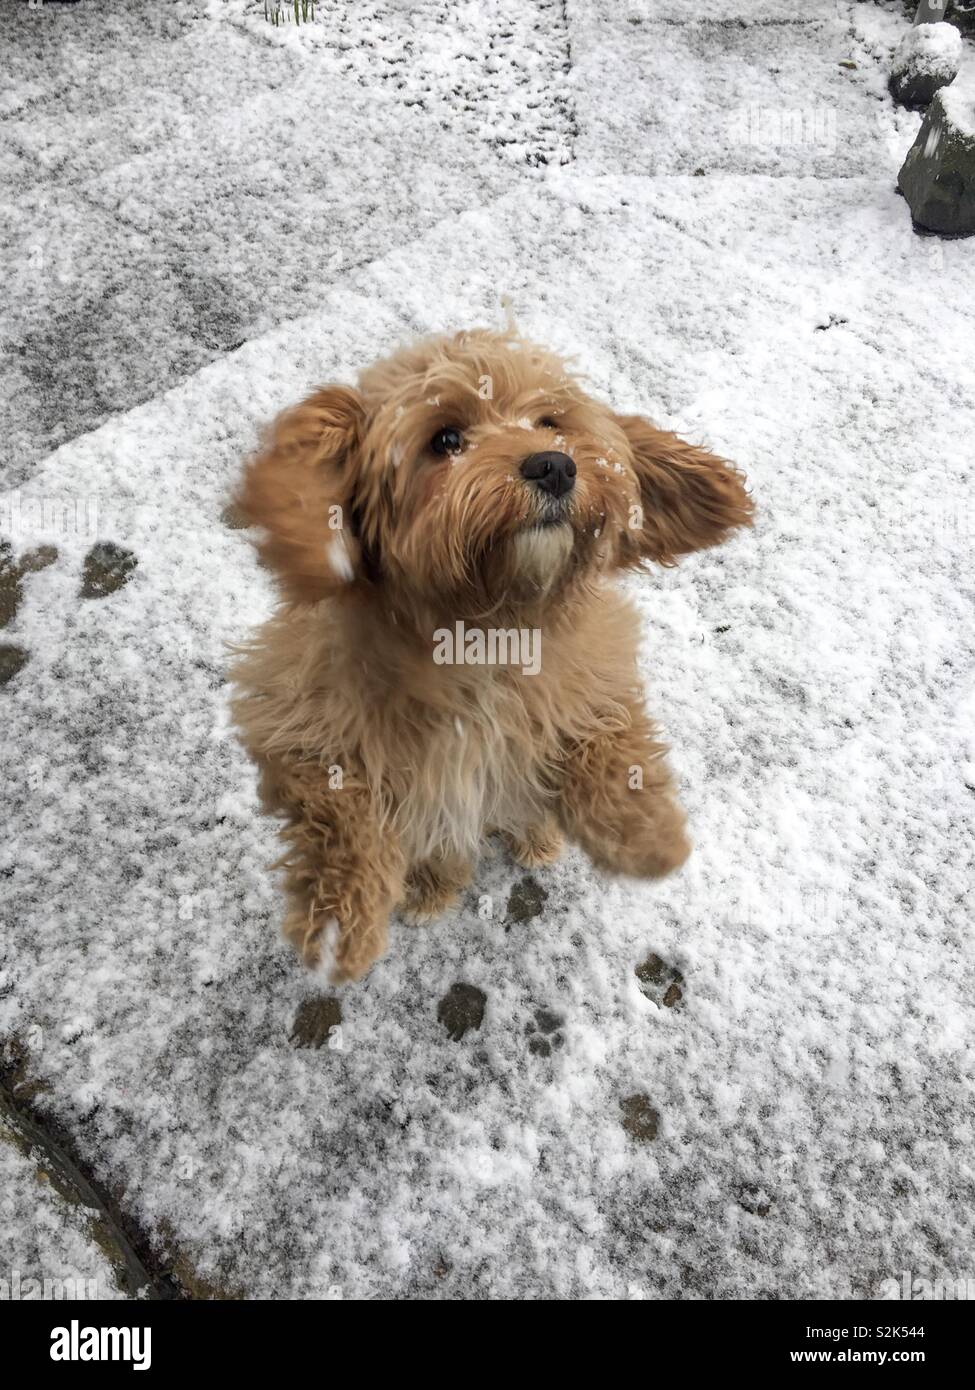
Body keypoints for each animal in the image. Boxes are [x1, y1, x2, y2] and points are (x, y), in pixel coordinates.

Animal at [229, 326, 751, 984]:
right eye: (446, 439)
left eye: (550, 421)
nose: (554, 465)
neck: (485, 633)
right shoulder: (293, 710)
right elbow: (336, 804)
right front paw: (339, 918)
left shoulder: (589, 665)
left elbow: (606, 732)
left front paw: (644, 833)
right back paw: (429, 889)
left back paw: (538, 839)